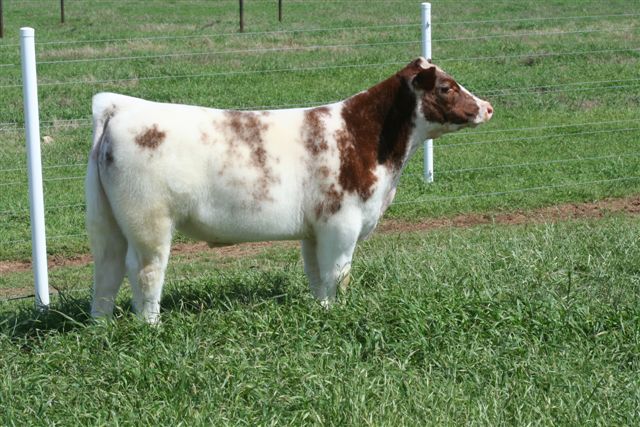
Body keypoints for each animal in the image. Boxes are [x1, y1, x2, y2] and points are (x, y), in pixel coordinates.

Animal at [86, 57, 493, 323]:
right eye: (446, 87)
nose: (487, 107)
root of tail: (121, 105)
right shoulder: (341, 224)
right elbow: (337, 274)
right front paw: (339, 313)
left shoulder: (314, 230)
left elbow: (316, 275)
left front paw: (322, 311)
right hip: (149, 222)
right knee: (144, 270)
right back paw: (151, 326)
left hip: (108, 223)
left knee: (106, 270)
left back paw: (101, 326)